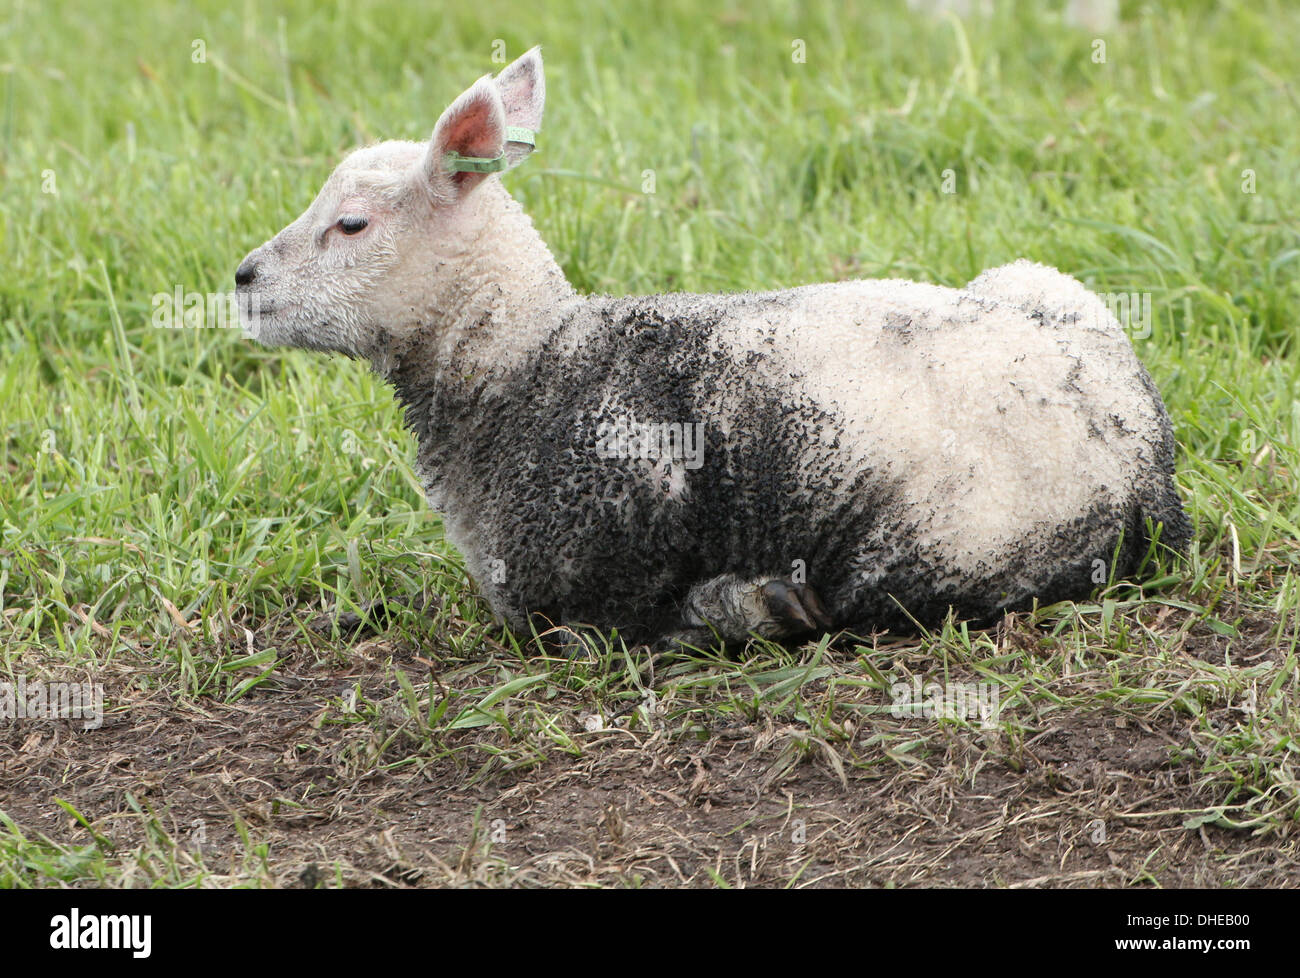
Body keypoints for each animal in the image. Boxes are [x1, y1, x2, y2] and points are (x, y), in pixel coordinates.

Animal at [235, 47, 1190, 648]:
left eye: (351, 225)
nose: (241, 279)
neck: (525, 364)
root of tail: (1147, 466)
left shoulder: (593, 570)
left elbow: (605, 629)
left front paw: (723, 609)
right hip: (1042, 289)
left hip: (939, 540)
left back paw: (755, 604)